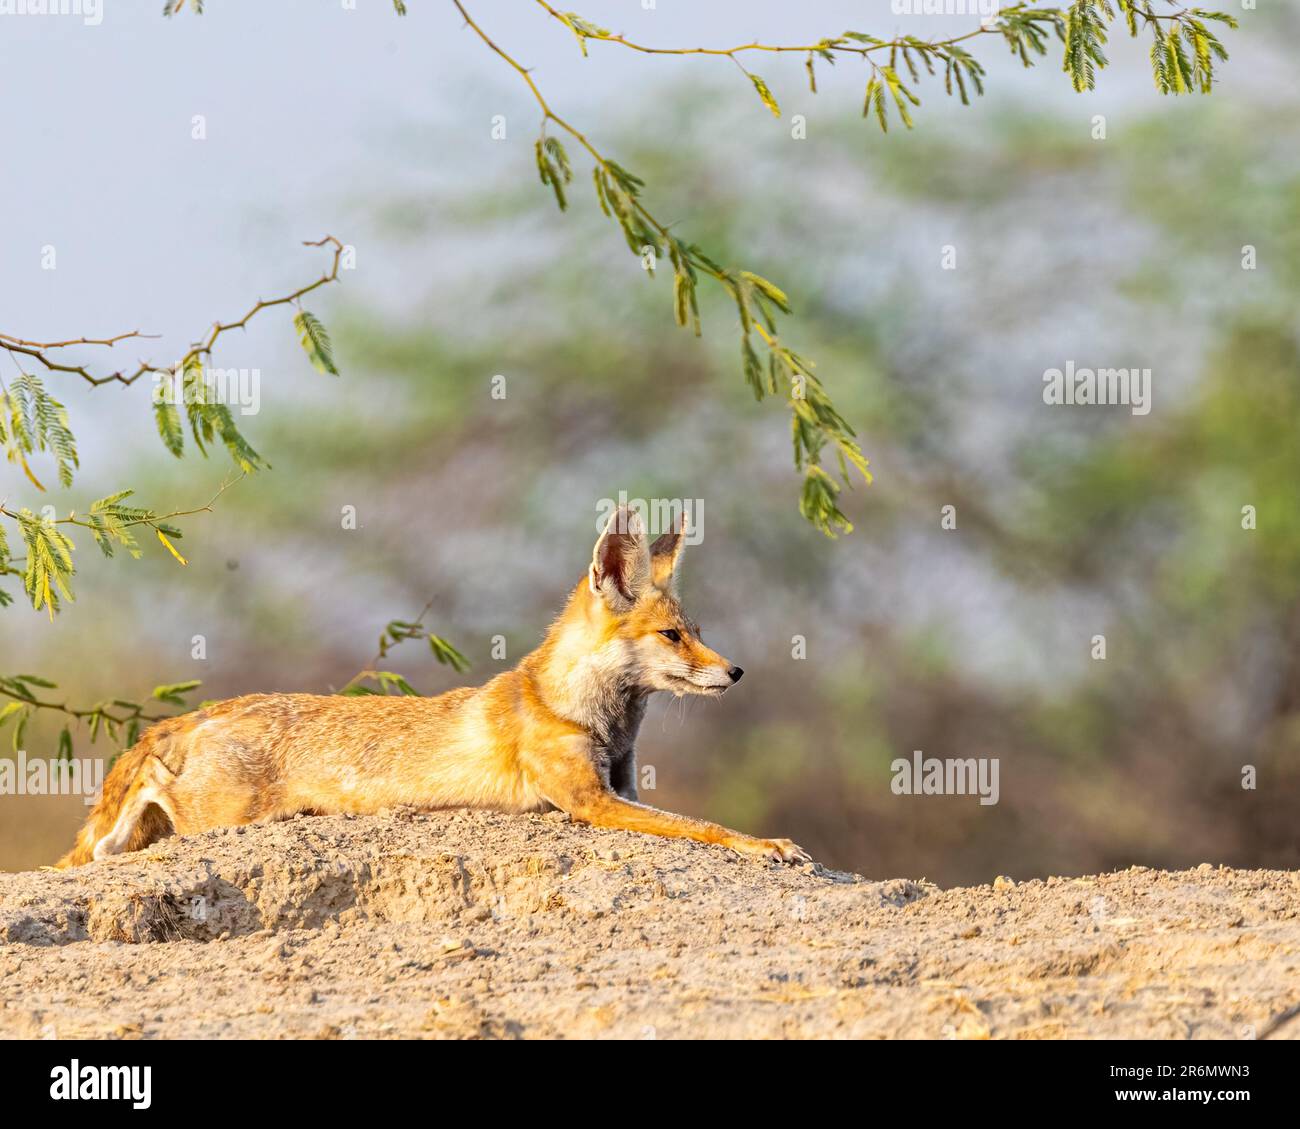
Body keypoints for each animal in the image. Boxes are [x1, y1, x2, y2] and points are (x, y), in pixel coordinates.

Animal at [57, 505, 810, 868]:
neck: (596, 717)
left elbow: (694, 819)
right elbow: (707, 825)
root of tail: (210, 711)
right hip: (224, 816)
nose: (736, 671)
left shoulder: (621, 785)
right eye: (673, 637)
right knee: (137, 795)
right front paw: (768, 844)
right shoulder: (588, 801)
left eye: (696, 631)